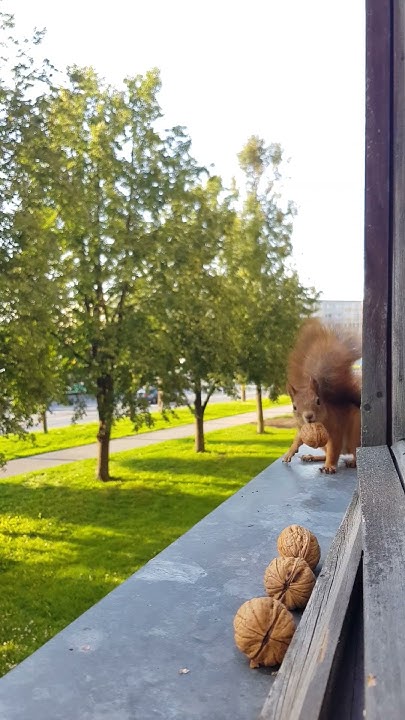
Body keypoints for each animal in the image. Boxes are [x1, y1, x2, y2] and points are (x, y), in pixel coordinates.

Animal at [282, 318, 361, 474]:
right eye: (294, 407)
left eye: (318, 401)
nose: (308, 416)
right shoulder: (302, 428)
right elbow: (298, 439)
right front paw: (290, 452)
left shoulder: (335, 430)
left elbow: (334, 449)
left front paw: (329, 466)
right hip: (323, 445)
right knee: (330, 454)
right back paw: (313, 457)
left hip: (355, 435)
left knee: (352, 453)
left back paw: (353, 462)